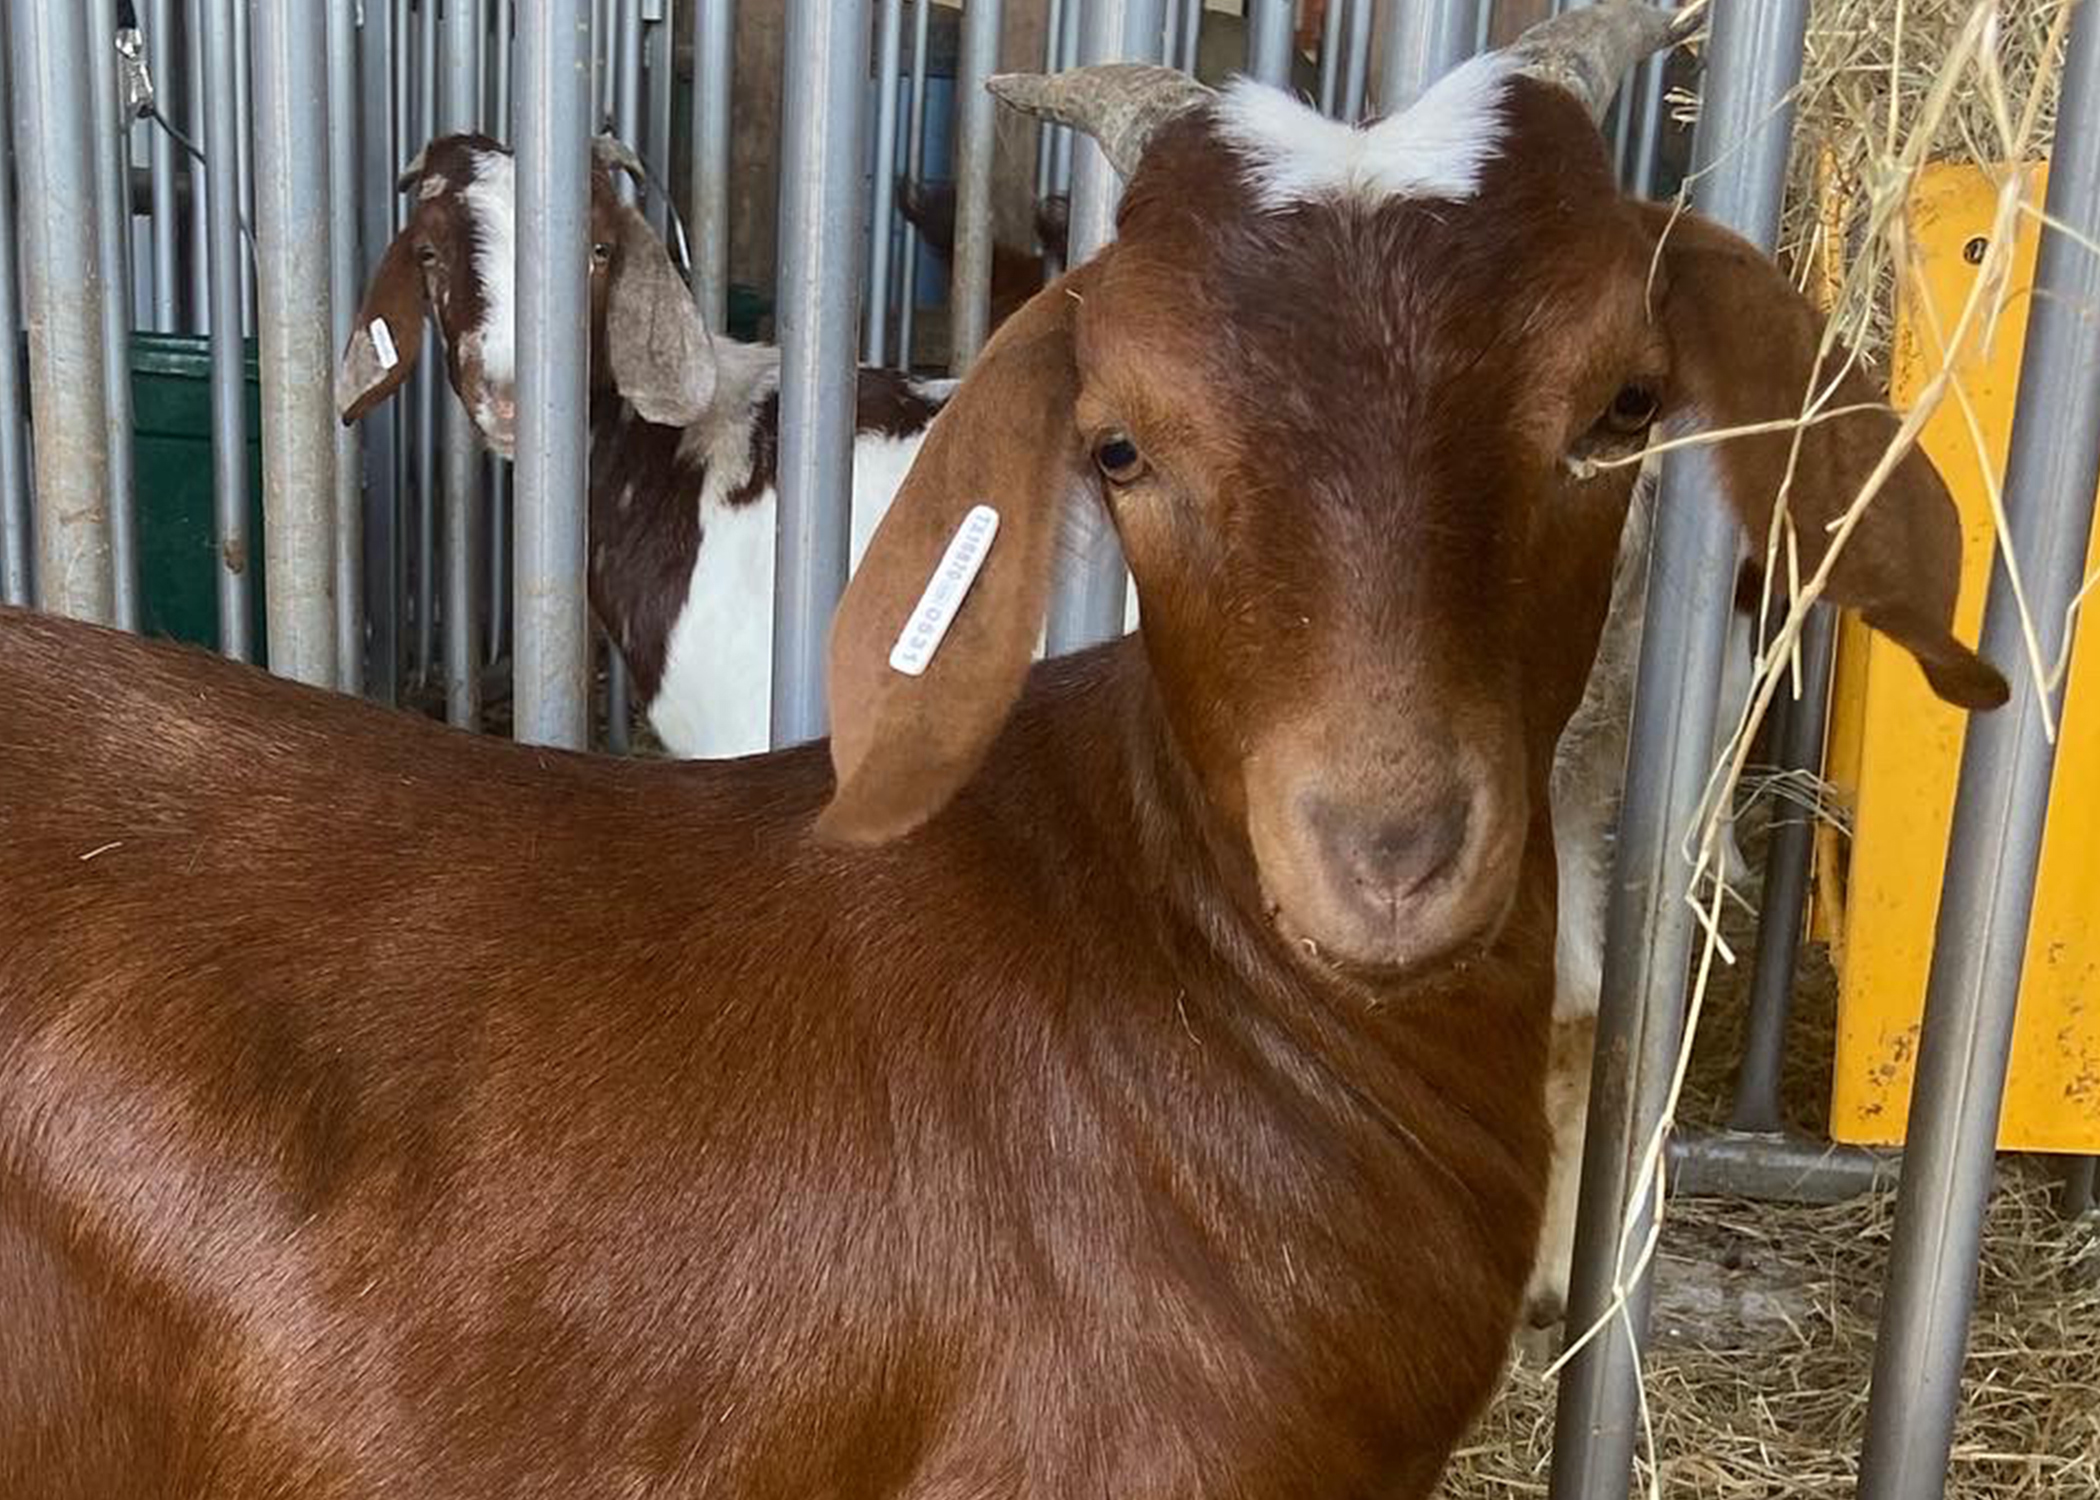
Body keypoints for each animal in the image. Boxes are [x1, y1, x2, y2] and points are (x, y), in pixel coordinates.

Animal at [6, 9, 2007, 1495]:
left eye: (583, 242)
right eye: (432, 250)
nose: (504, 395)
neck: (693, 452)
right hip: (1591, 772)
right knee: (1605, 1009)